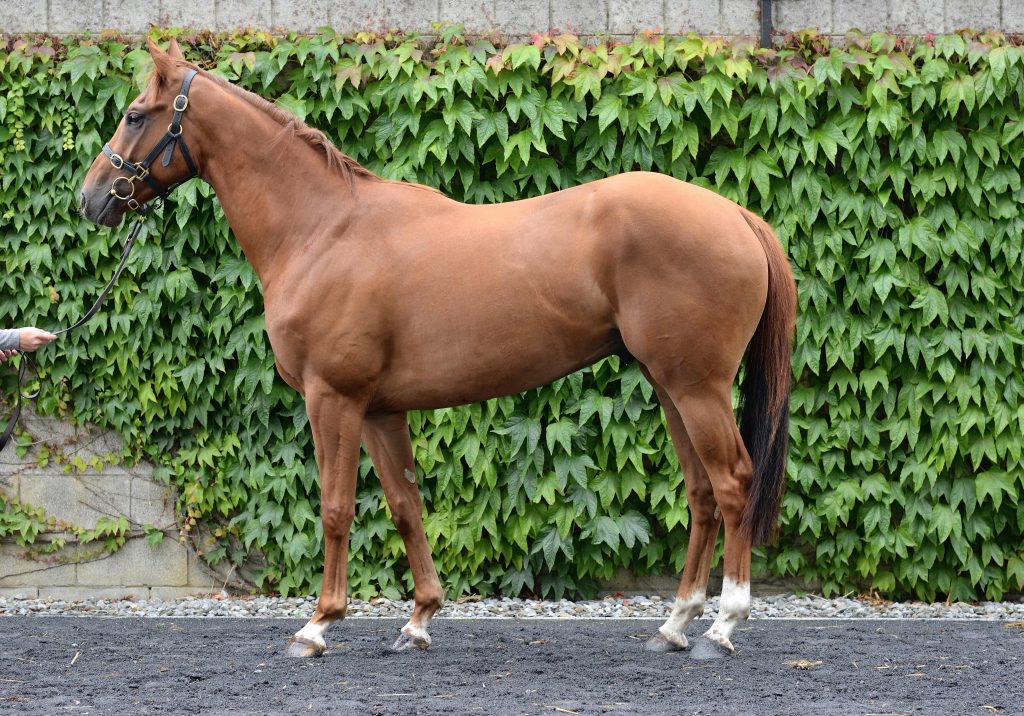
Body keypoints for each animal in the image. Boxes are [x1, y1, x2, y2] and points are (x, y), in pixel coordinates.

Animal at [80, 39, 796, 659]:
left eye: (134, 114)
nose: (90, 198)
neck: (322, 229)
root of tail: (736, 215)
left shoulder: (333, 400)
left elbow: (336, 509)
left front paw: (317, 625)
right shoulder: (379, 409)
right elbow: (405, 507)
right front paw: (419, 619)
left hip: (697, 387)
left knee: (733, 483)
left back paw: (722, 627)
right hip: (669, 384)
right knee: (701, 493)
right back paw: (675, 625)